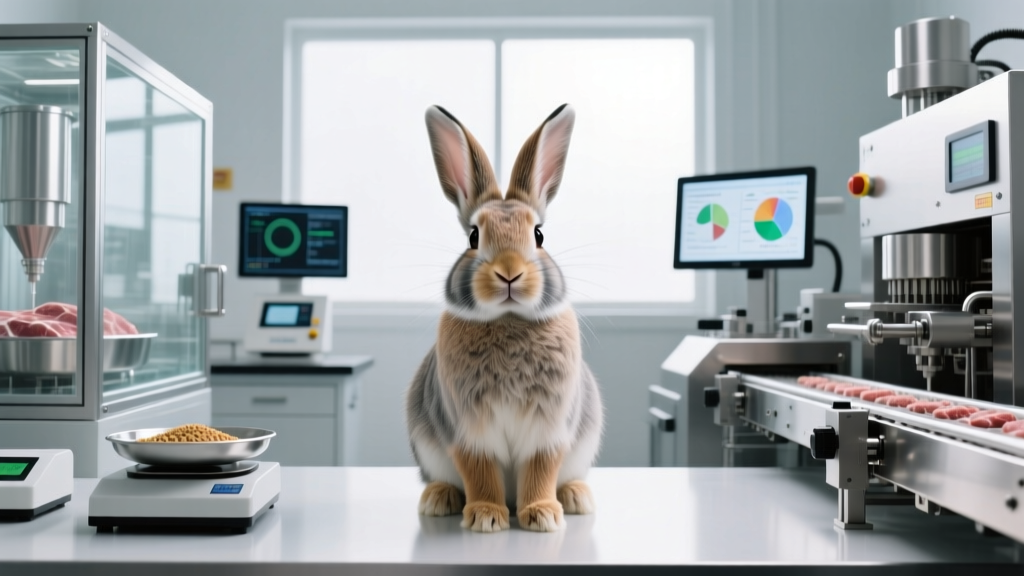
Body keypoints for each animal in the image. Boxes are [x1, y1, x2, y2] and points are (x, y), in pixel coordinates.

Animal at [405, 103, 604, 533]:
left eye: (539, 235)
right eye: (473, 237)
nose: (509, 272)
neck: (509, 320)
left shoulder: (550, 429)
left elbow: (541, 468)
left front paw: (542, 516)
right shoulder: (467, 431)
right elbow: (479, 471)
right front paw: (485, 517)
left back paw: (576, 497)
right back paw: (439, 499)